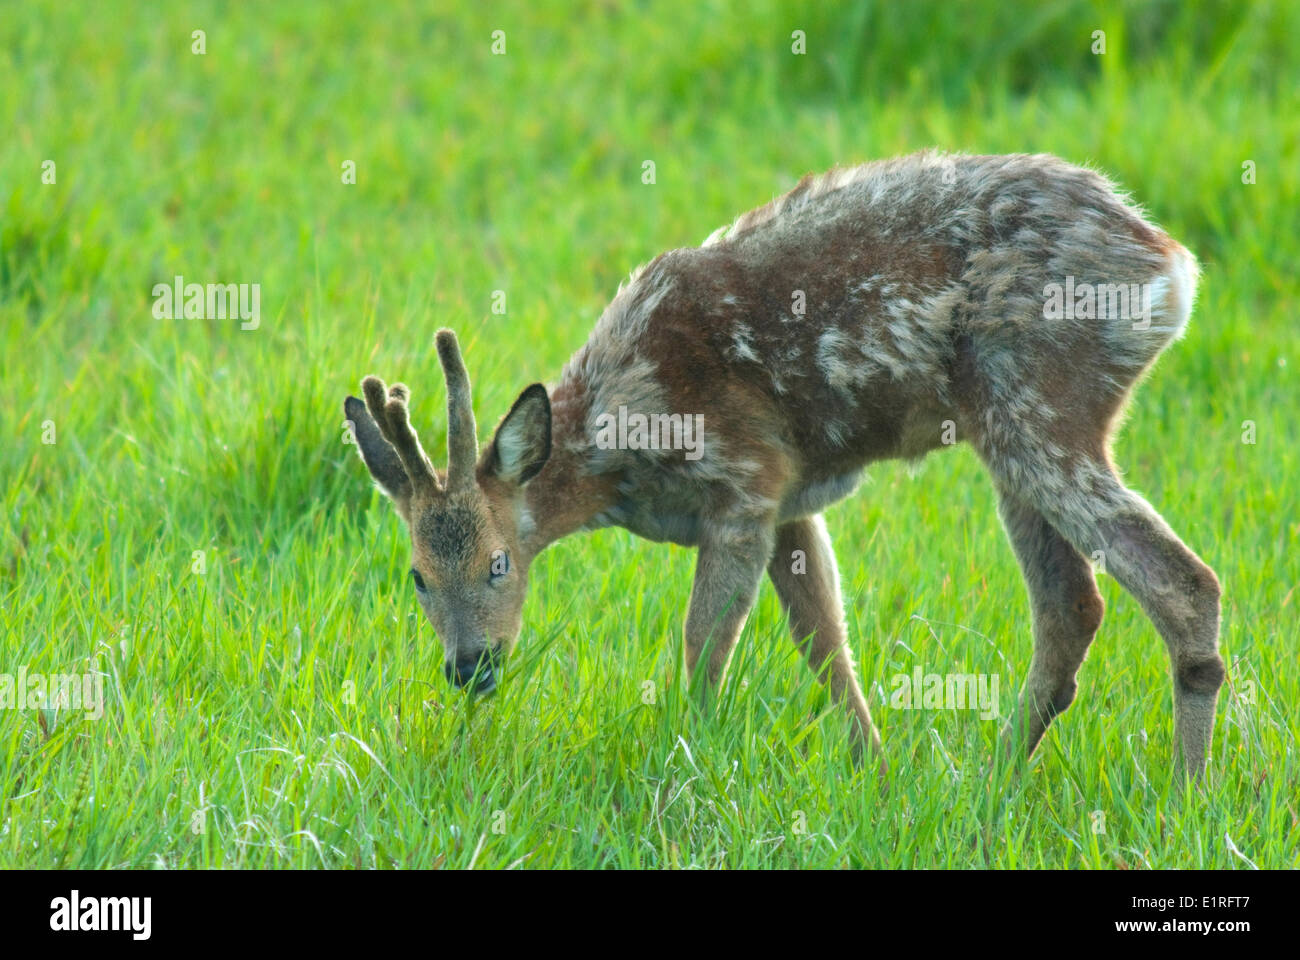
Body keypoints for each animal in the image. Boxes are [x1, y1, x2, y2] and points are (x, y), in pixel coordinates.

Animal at [344, 151, 1224, 780]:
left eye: (499, 563)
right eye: (416, 574)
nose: (470, 668)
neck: (619, 437)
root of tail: (1170, 266)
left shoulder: (743, 479)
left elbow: (704, 646)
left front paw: (684, 763)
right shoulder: (793, 499)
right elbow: (825, 642)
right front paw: (875, 772)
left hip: (1035, 400)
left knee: (1183, 582)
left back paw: (1182, 797)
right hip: (1014, 432)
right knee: (1073, 606)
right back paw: (992, 781)